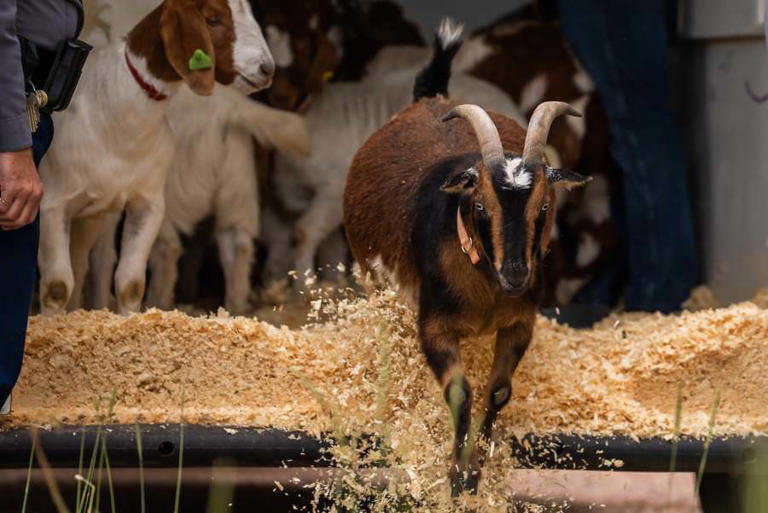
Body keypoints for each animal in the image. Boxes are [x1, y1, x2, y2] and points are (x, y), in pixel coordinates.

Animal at [37, 0, 275, 314]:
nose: (267, 68)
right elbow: (57, 286)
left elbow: (130, 284)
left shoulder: (147, 202)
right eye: (213, 20)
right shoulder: (53, 204)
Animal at [342, 19, 588, 495]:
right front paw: (457, 476)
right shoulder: (433, 326)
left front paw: (480, 463)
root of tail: (431, 96)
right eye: (479, 207)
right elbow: (461, 392)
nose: (516, 275)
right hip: (374, 283)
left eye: (543, 209)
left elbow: (497, 391)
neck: (487, 289)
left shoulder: (520, 322)